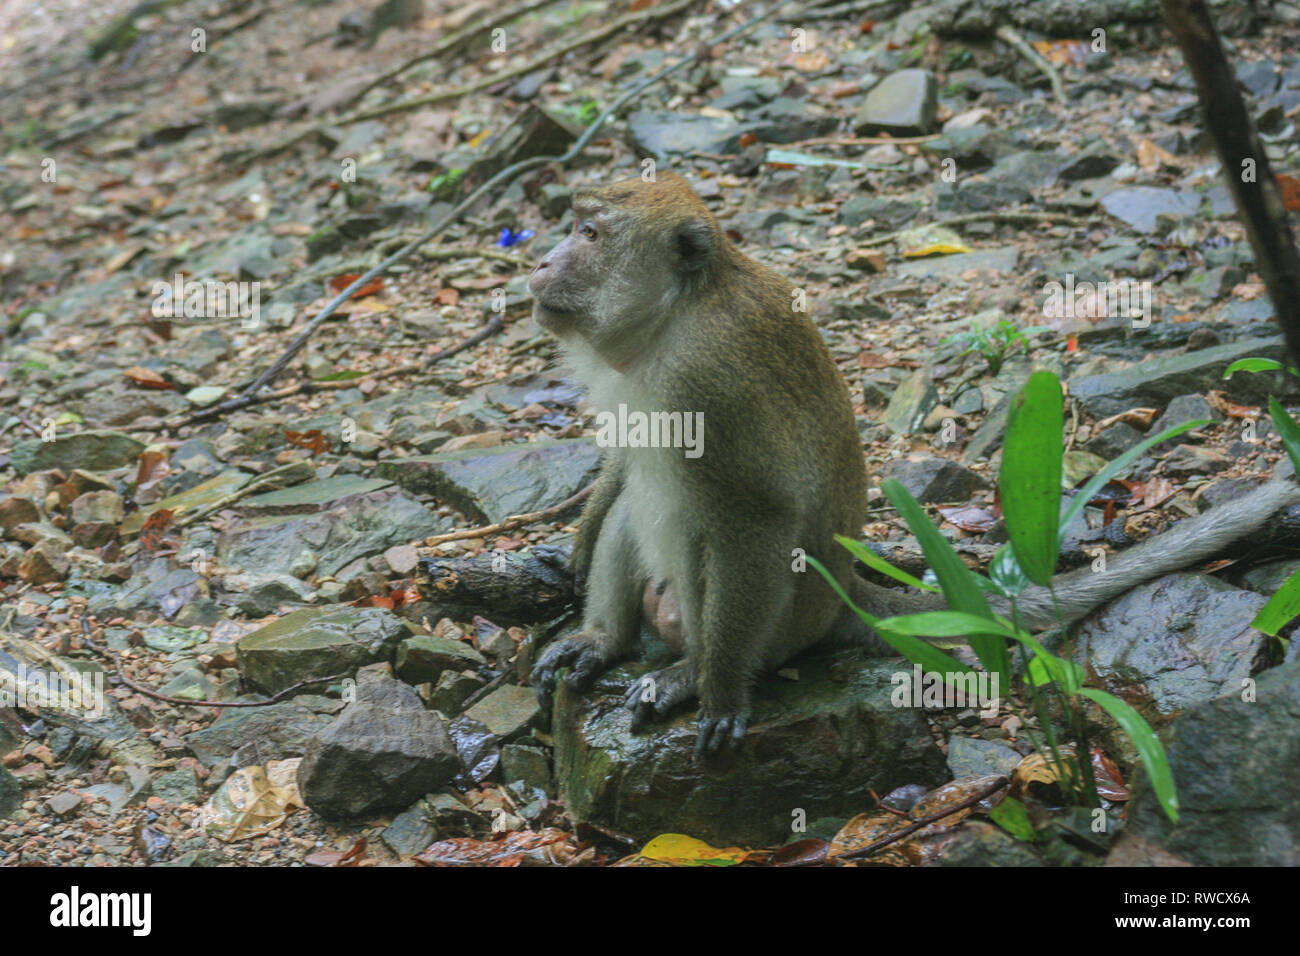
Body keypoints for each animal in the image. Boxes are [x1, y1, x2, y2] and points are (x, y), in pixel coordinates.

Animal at [527, 171, 1300, 755]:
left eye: (589, 234)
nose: (538, 261)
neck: (671, 316)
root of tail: (845, 588)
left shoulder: (707, 379)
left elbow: (759, 515)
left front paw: (715, 690)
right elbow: (625, 466)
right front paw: (580, 545)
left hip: (790, 618)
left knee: (706, 530)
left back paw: (691, 666)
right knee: (641, 501)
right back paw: (602, 640)